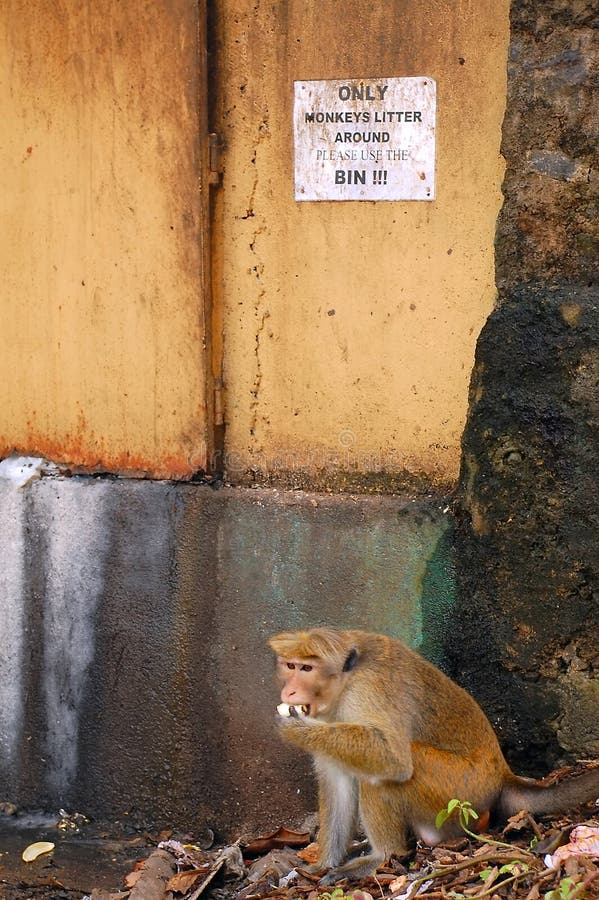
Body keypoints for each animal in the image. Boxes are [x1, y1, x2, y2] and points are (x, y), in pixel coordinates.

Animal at [269, 628, 599, 885]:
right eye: (290, 666)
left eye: (307, 669)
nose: (289, 692)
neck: (346, 682)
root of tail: (502, 776)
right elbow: (337, 783)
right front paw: (322, 864)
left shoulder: (368, 690)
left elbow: (394, 758)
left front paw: (295, 728)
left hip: (460, 792)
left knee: (386, 775)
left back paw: (383, 855)